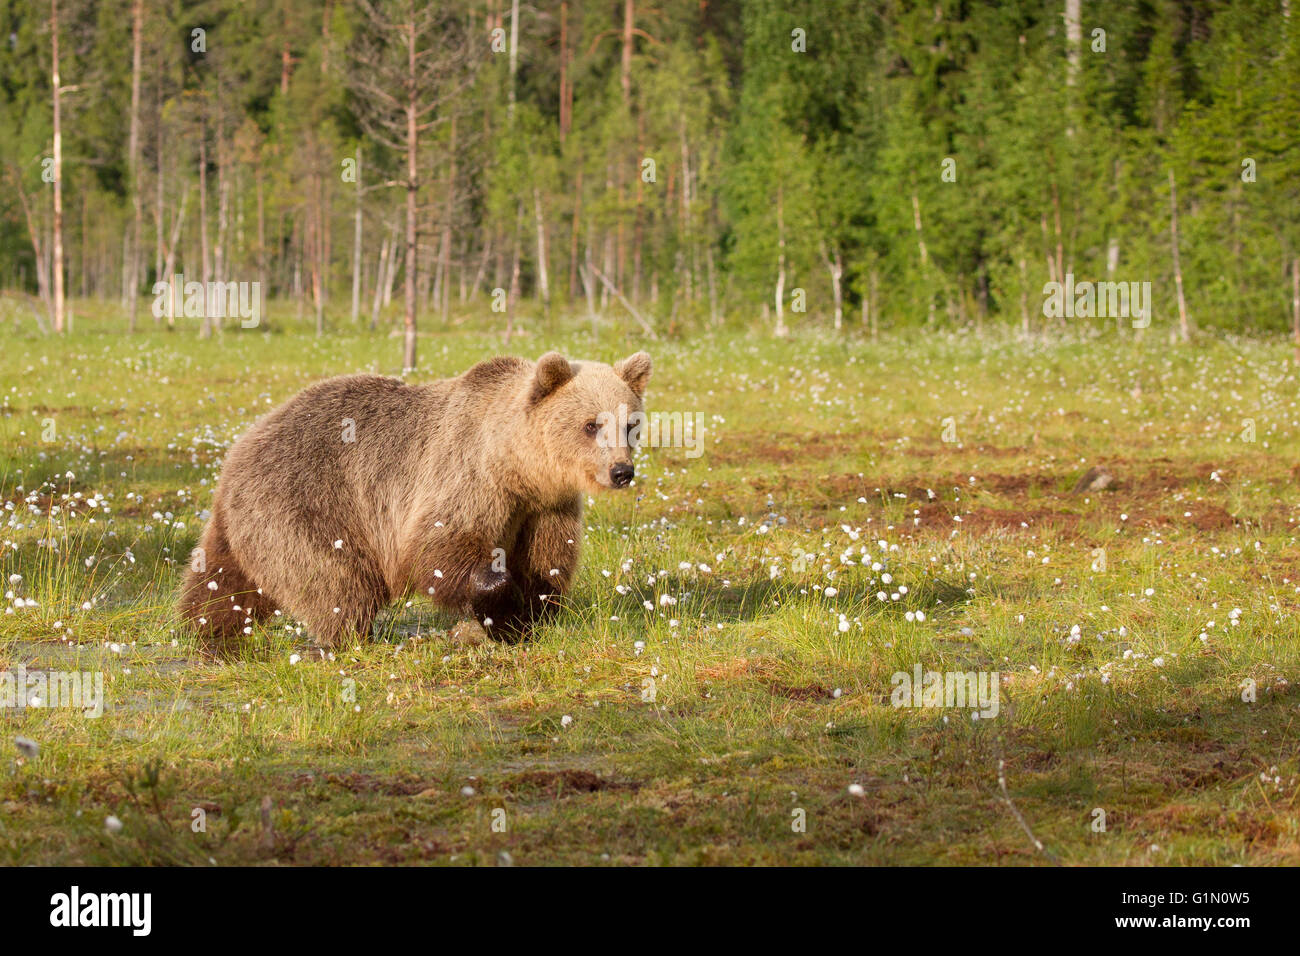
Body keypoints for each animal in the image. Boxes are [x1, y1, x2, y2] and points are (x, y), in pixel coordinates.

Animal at [177, 350, 652, 651]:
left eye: (630, 423)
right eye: (591, 424)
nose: (621, 471)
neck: (518, 467)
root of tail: (235, 452)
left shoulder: (544, 508)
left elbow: (546, 564)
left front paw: (529, 616)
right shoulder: (466, 476)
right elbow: (437, 547)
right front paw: (500, 605)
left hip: (247, 523)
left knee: (221, 582)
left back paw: (202, 627)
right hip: (307, 501)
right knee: (337, 579)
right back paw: (353, 637)